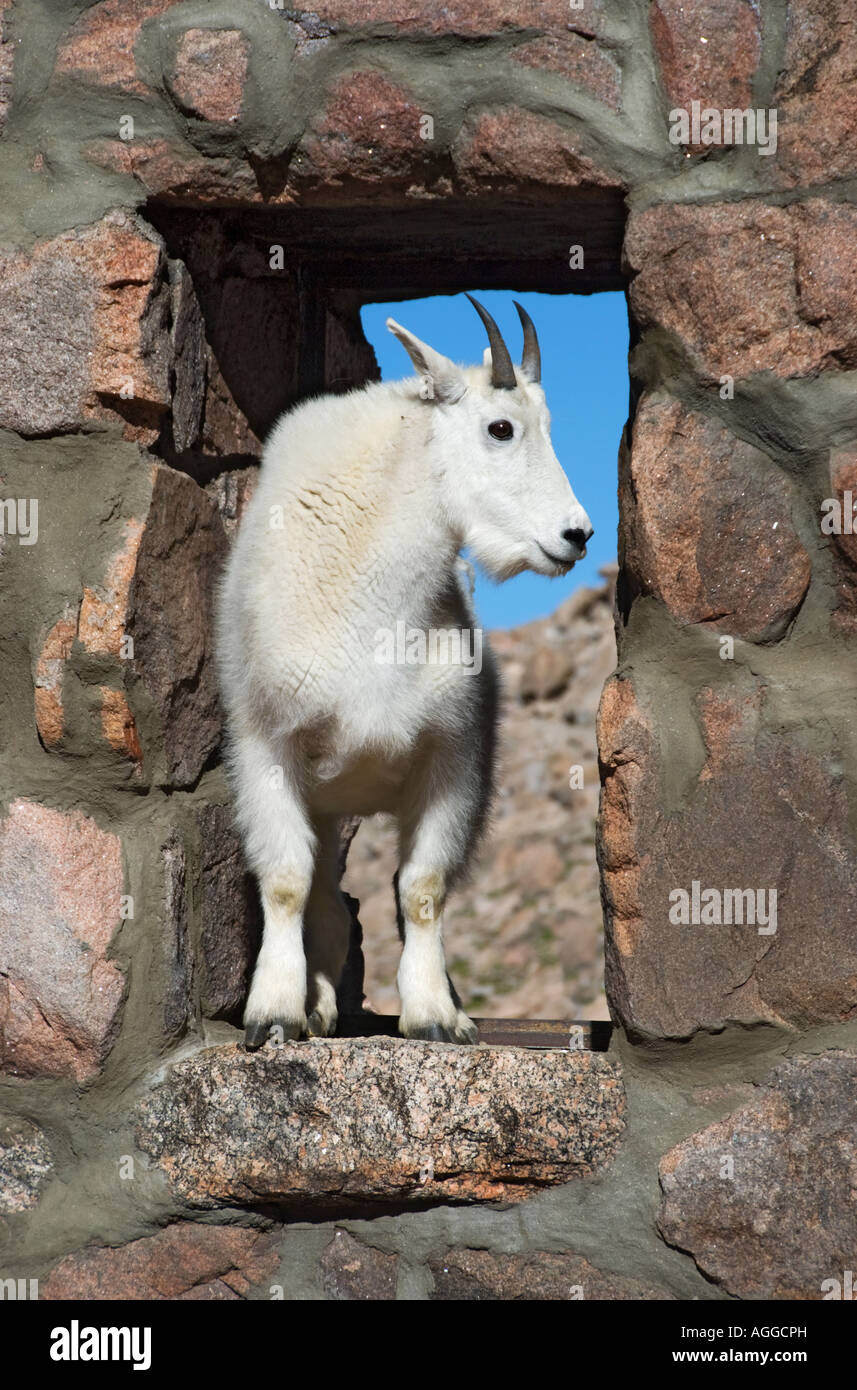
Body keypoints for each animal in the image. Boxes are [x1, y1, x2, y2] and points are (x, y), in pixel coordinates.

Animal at [215, 295, 593, 1047]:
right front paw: (274, 1014)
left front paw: (435, 1016)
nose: (577, 535)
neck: (376, 610)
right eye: (500, 427)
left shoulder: (453, 759)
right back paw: (318, 1005)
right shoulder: (269, 745)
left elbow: (421, 890)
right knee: (325, 893)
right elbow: (286, 882)